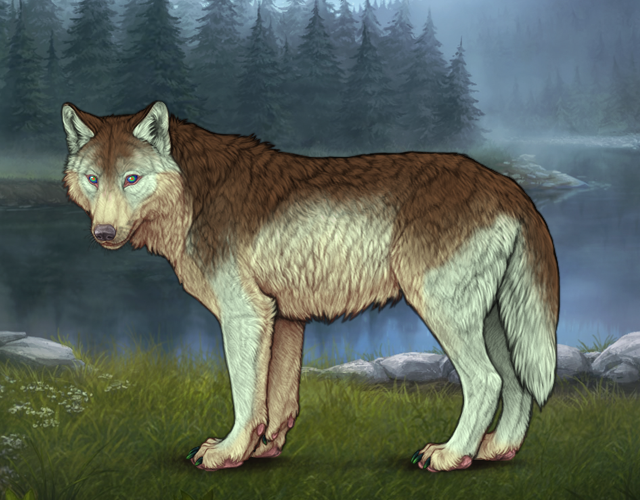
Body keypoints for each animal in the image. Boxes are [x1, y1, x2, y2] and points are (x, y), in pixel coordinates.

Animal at [61, 101, 559, 472]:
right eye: (93, 179)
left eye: (132, 179)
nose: (103, 233)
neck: (192, 196)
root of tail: (509, 186)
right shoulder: (283, 318)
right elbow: (278, 400)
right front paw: (263, 450)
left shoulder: (246, 315)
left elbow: (246, 396)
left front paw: (228, 453)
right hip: (492, 324)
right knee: (517, 385)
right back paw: (496, 450)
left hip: (445, 314)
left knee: (487, 381)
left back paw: (453, 456)